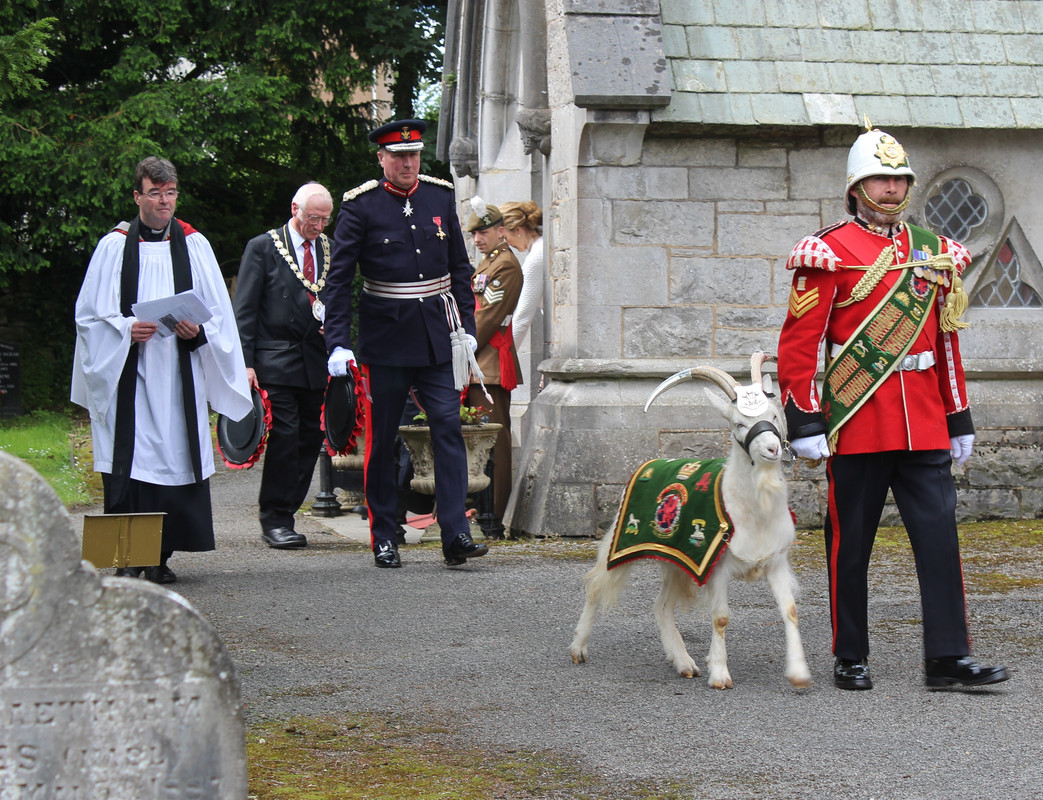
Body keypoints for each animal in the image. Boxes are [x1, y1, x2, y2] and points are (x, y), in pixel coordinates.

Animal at [567, 354, 809, 692]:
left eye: (775, 414)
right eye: (738, 423)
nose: (772, 449)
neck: (750, 509)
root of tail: (650, 462)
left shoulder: (774, 562)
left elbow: (790, 611)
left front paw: (799, 672)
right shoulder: (717, 565)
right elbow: (721, 617)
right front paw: (719, 675)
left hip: (676, 557)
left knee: (661, 605)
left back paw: (684, 663)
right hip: (622, 541)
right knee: (596, 586)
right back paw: (579, 648)